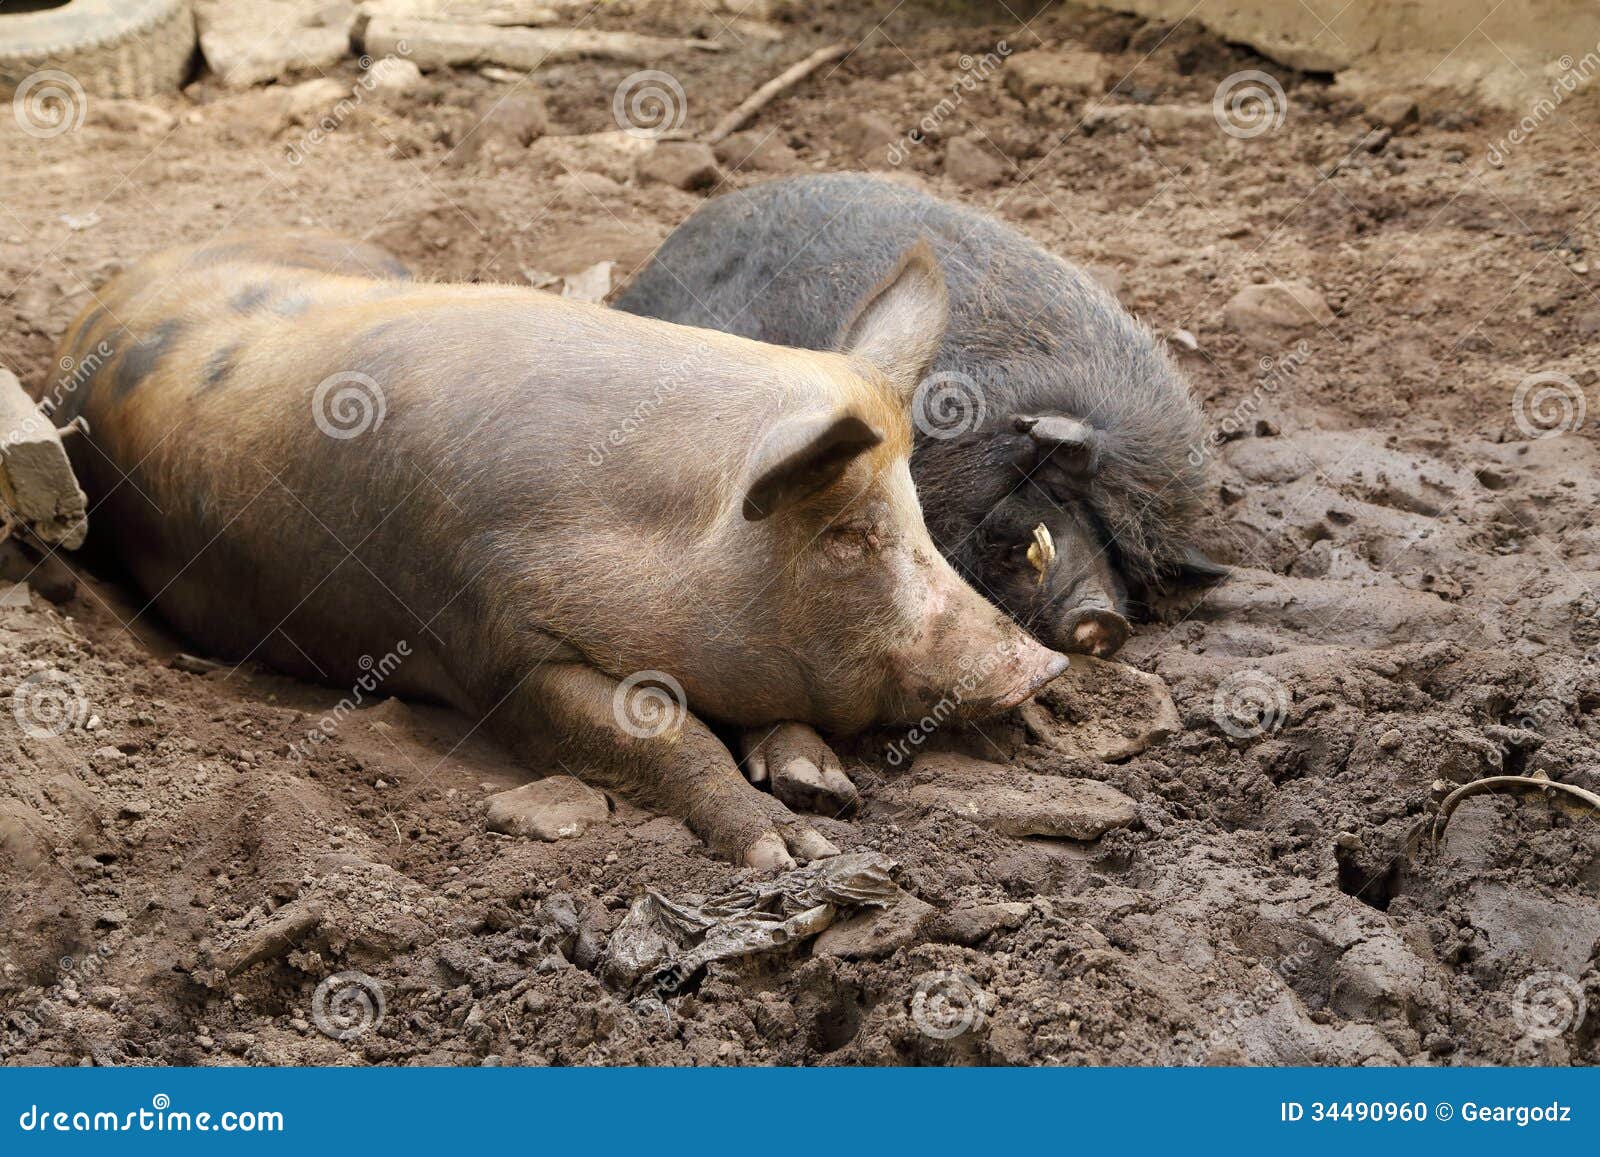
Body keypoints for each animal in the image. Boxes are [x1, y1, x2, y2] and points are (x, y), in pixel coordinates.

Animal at [52, 231, 1066, 868]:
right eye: (849, 537)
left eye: (919, 512)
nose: (1040, 664)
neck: (663, 528)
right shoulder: (491, 640)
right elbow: (661, 729)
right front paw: (794, 846)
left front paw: (821, 788)